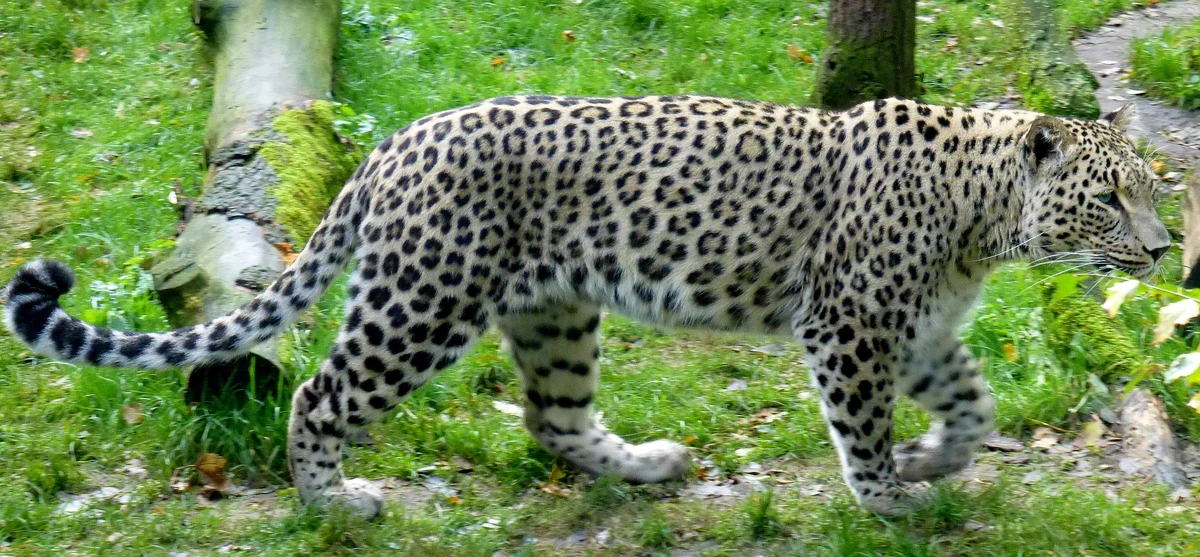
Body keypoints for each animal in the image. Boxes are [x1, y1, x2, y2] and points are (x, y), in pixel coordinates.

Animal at [2, 95, 1170, 517]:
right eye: (1112, 196)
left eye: (1154, 190)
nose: (1164, 249)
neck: (986, 217)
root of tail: (391, 142)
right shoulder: (849, 321)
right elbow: (864, 426)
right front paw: (890, 498)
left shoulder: (916, 329)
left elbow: (972, 406)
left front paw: (934, 462)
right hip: (424, 298)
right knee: (320, 393)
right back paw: (335, 500)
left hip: (554, 309)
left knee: (550, 416)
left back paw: (649, 464)